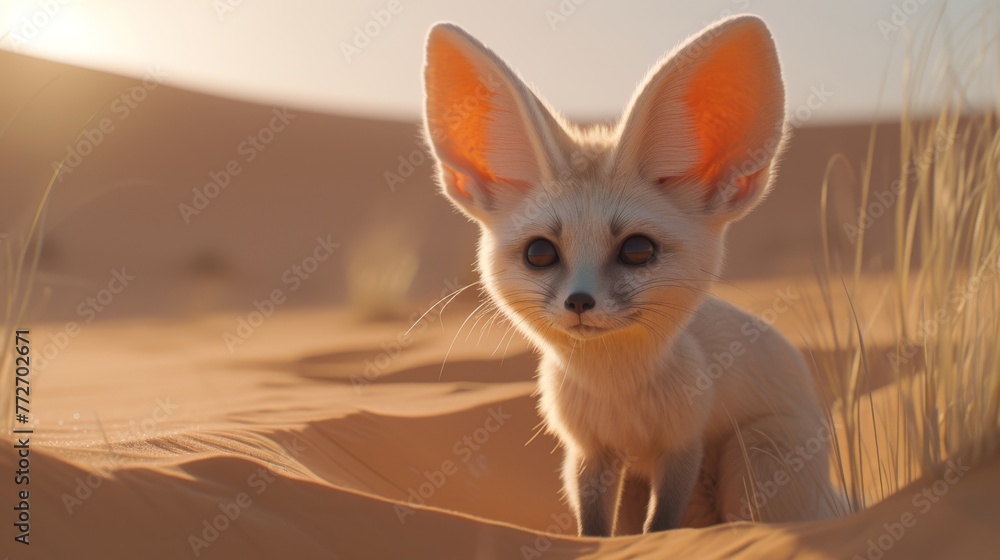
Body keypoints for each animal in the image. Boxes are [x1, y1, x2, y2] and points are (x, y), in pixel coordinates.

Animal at [422, 15, 844, 536]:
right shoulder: (589, 452)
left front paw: (661, 540)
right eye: (540, 253)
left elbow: (660, 526)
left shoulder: (682, 444)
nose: (579, 302)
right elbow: (595, 528)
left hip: (756, 462)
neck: (616, 391)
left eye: (638, 250)